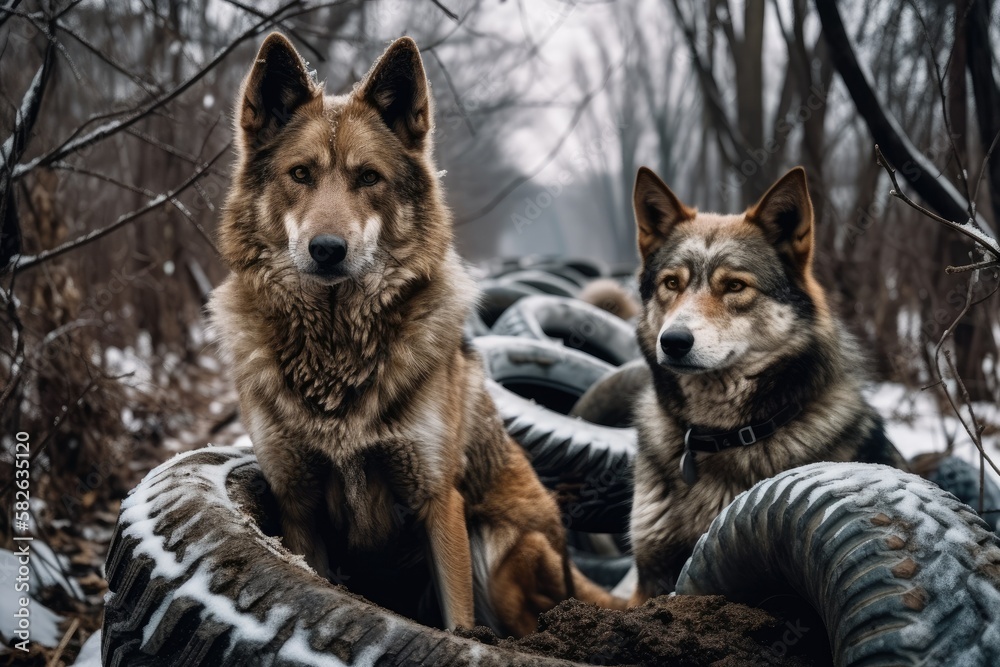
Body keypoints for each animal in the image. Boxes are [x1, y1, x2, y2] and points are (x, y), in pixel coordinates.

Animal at [208, 33, 621, 636]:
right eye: (301, 174)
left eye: (368, 178)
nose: (326, 250)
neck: (336, 346)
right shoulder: (298, 505)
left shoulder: (437, 502)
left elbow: (457, 620)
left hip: (498, 546)